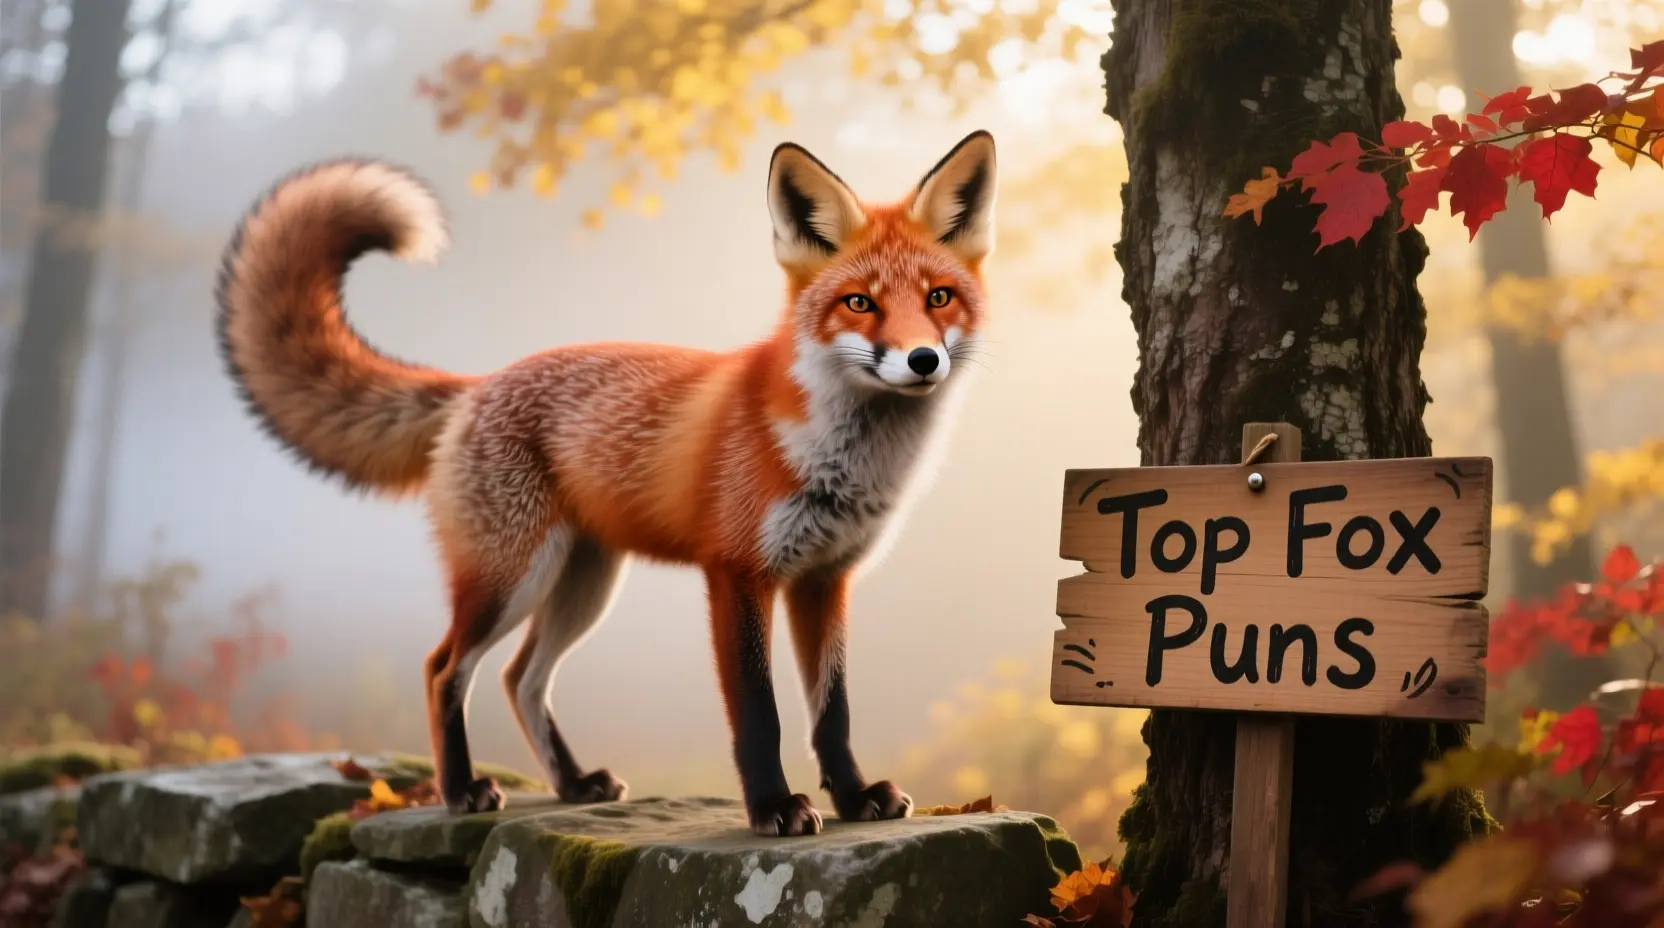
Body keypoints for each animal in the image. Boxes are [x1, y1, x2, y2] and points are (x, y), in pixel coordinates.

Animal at [213, 129, 996, 837]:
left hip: (584, 585)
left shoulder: (823, 579)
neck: (840, 457)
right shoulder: (737, 573)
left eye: (939, 297)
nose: (922, 360)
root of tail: (477, 384)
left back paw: (571, 783)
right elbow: (761, 715)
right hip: (510, 579)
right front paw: (773, 809)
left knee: (520, 678)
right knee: (444, 669)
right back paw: (462, 790)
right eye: (861, 304)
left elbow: (832, 714)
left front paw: (854, 797)